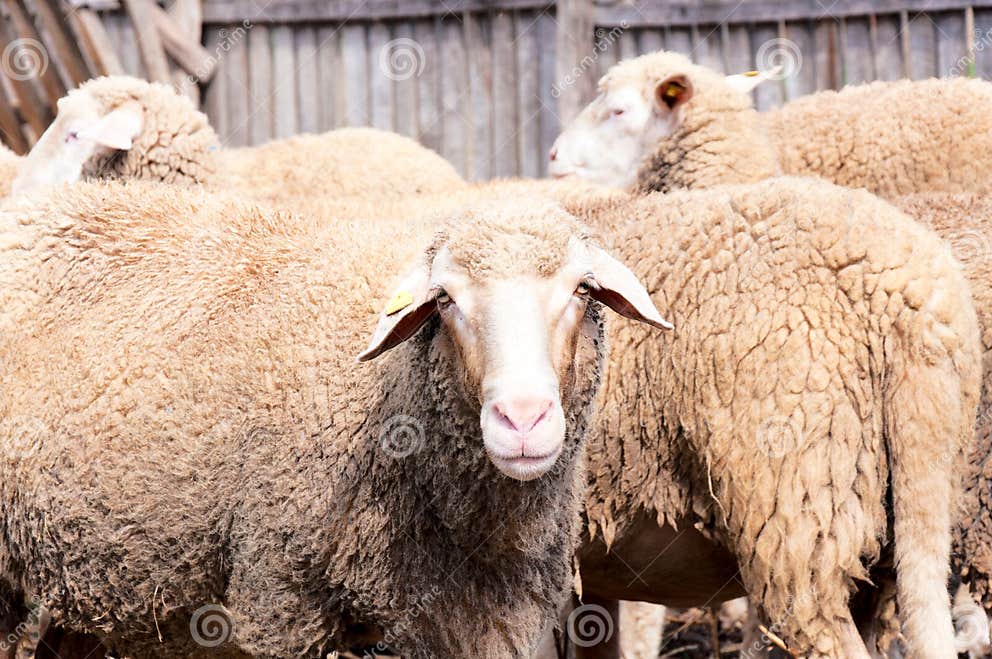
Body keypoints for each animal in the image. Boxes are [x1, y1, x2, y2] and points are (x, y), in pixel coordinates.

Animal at [0, 179, 666, 658]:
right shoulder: (280, 600)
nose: (522, 419)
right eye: (444, 299)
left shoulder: (483, 621)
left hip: (90, 574)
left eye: (582, 289)